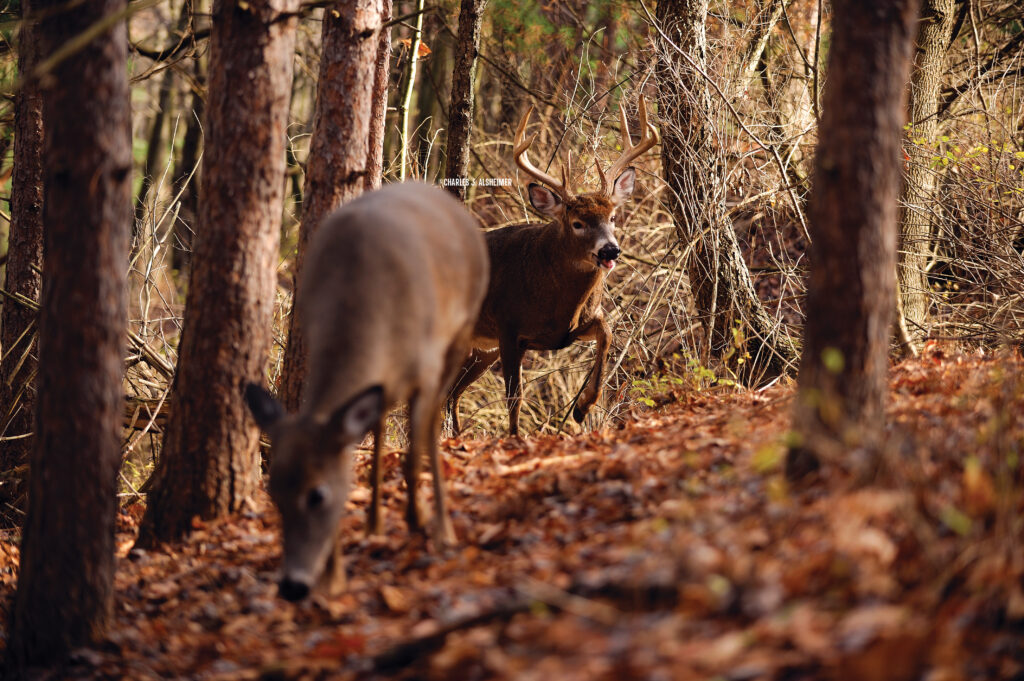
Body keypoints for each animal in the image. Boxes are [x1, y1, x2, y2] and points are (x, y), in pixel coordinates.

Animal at [244, 182, 488, 602]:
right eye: (273, 492)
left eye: (317, 494)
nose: (292, 586)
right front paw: (334, 578)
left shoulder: (427, 365)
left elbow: (418, 446)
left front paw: (434, 529)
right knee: (380, 425)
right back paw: (375, 523)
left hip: (461, 332)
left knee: (430, 424)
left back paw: (427, 519)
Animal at [448, 95, 659, 436]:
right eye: (577, 223)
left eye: (613, 217)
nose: (610, 249)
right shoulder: (509, 328)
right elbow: (515, 397)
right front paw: (515, 438)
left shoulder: (574, 327)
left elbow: (608, 335)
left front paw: (582, 408)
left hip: (480, 349)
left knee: (451, 392)